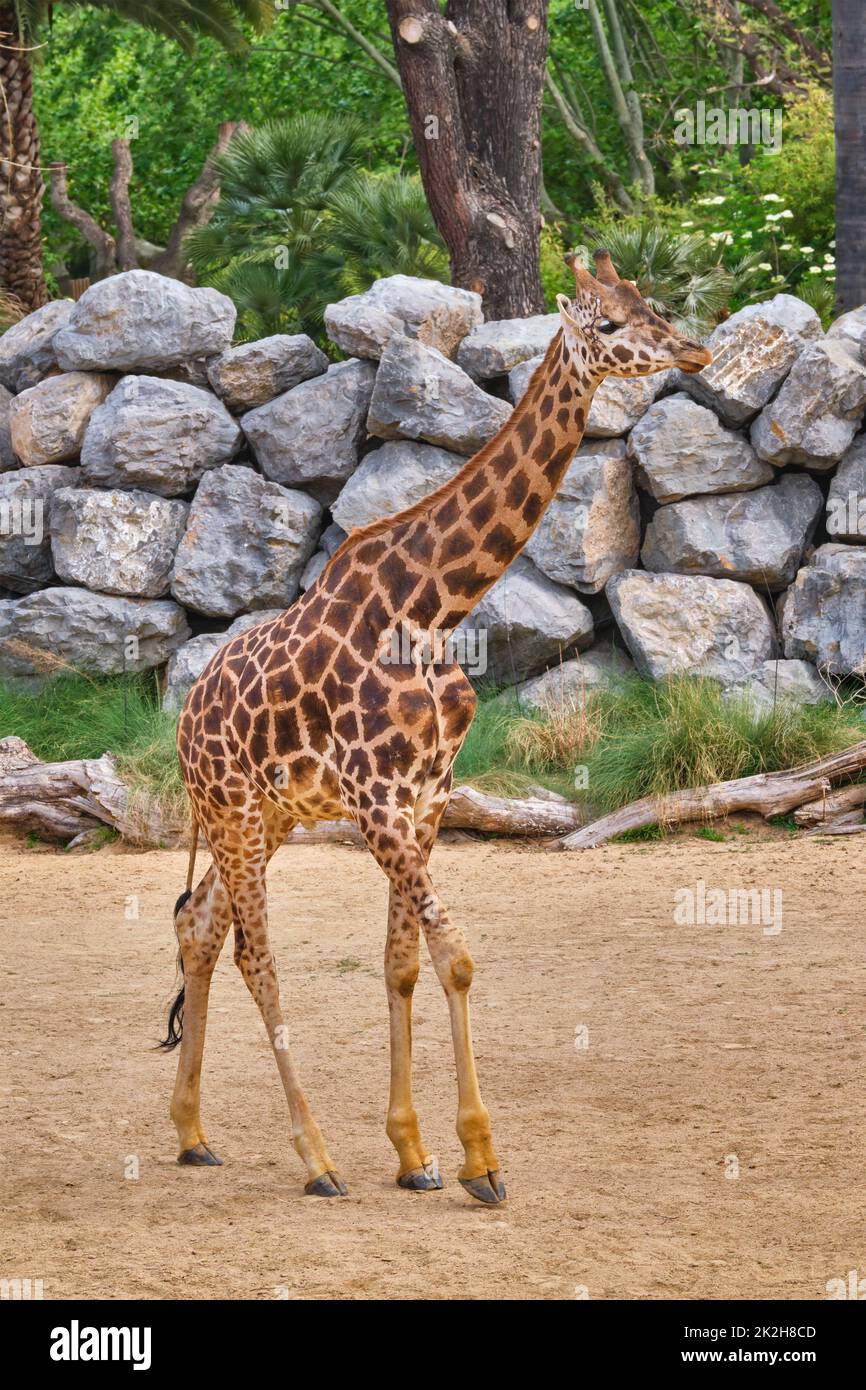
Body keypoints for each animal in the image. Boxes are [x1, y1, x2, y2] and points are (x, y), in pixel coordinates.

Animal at [162, 249, 712, 1203]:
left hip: (267, 817)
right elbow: (454, 955)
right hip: (230, 808)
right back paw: (316, 1160)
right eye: (607, 324)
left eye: (652, 305)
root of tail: (188, 714)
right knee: (254, 958)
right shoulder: (380, 800)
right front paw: (480, 1160)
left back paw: (194, 1133)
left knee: (199, 926)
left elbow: (406, 962)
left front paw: (416, 1154)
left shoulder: (424, 797)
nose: (697, 351)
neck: (432, 610)